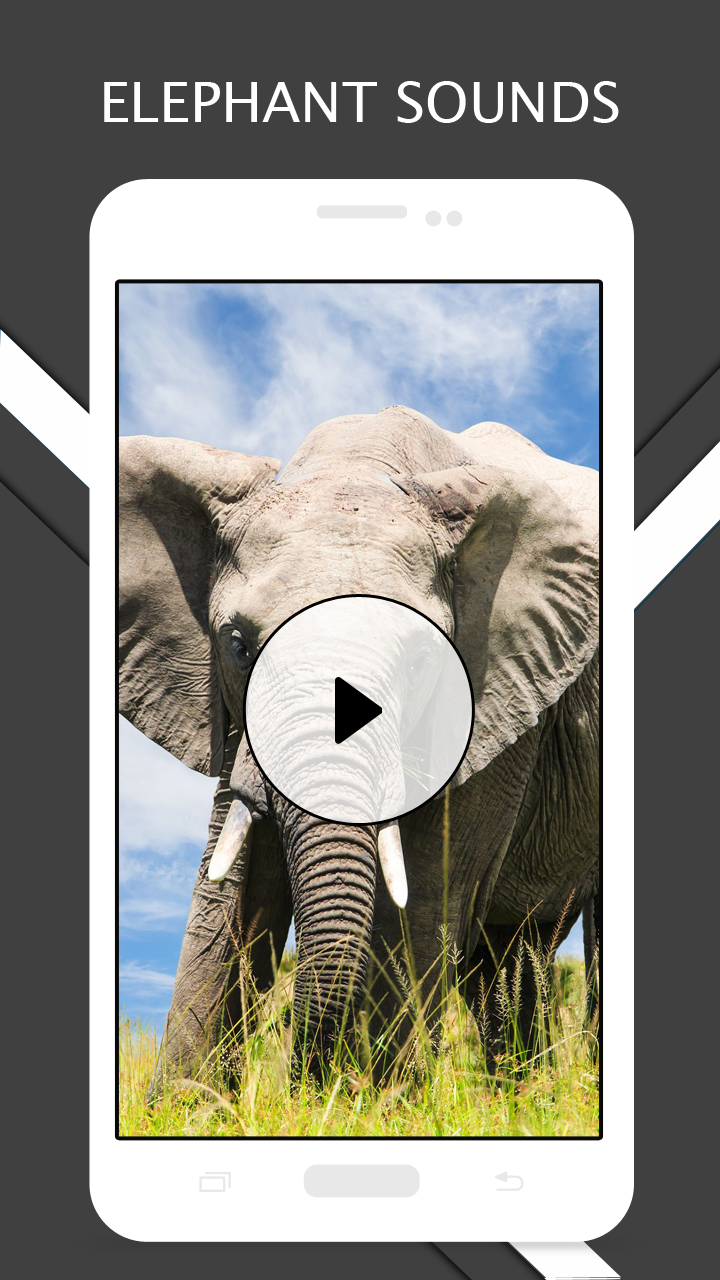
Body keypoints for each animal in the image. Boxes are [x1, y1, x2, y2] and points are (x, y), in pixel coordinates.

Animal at [118, 405, 599, 1099]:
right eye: (237, 646)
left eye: (423, 658)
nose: (302, 1079)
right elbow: (232, 875)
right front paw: (189, 1107)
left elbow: (422, 889)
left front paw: (381, 1104)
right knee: (513, 952)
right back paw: (521, 1098)